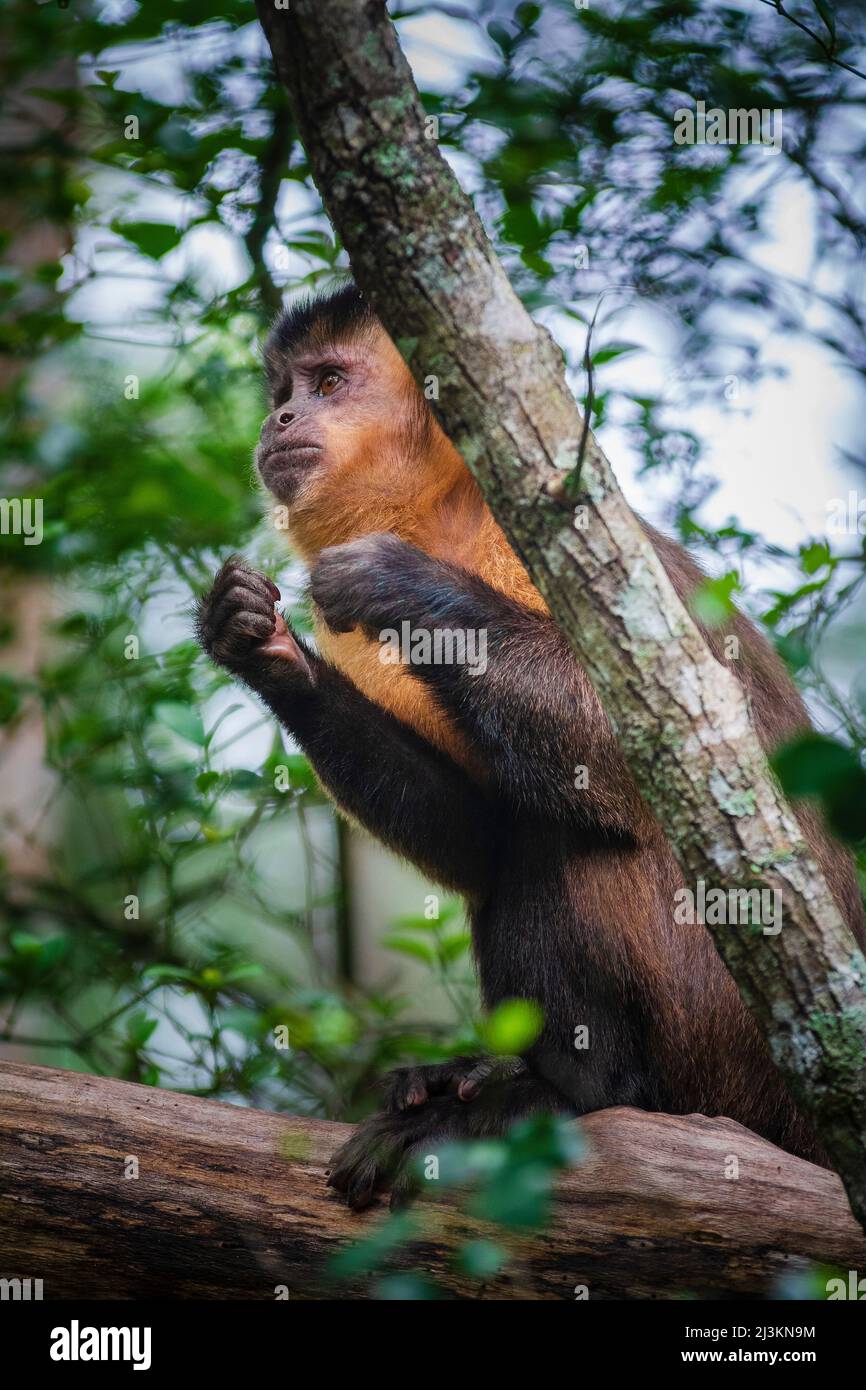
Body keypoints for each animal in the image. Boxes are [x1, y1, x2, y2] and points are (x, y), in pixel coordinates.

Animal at [196, 283, 865, 1211]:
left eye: (328, 382)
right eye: (283, 390)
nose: (281, 416)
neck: (447, 519)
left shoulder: (547, 534)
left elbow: (662, 746)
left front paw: (402, 583)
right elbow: (474, 837)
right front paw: (262, 648)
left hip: (736, 1049)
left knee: (575, 834)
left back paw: (576, 1092)